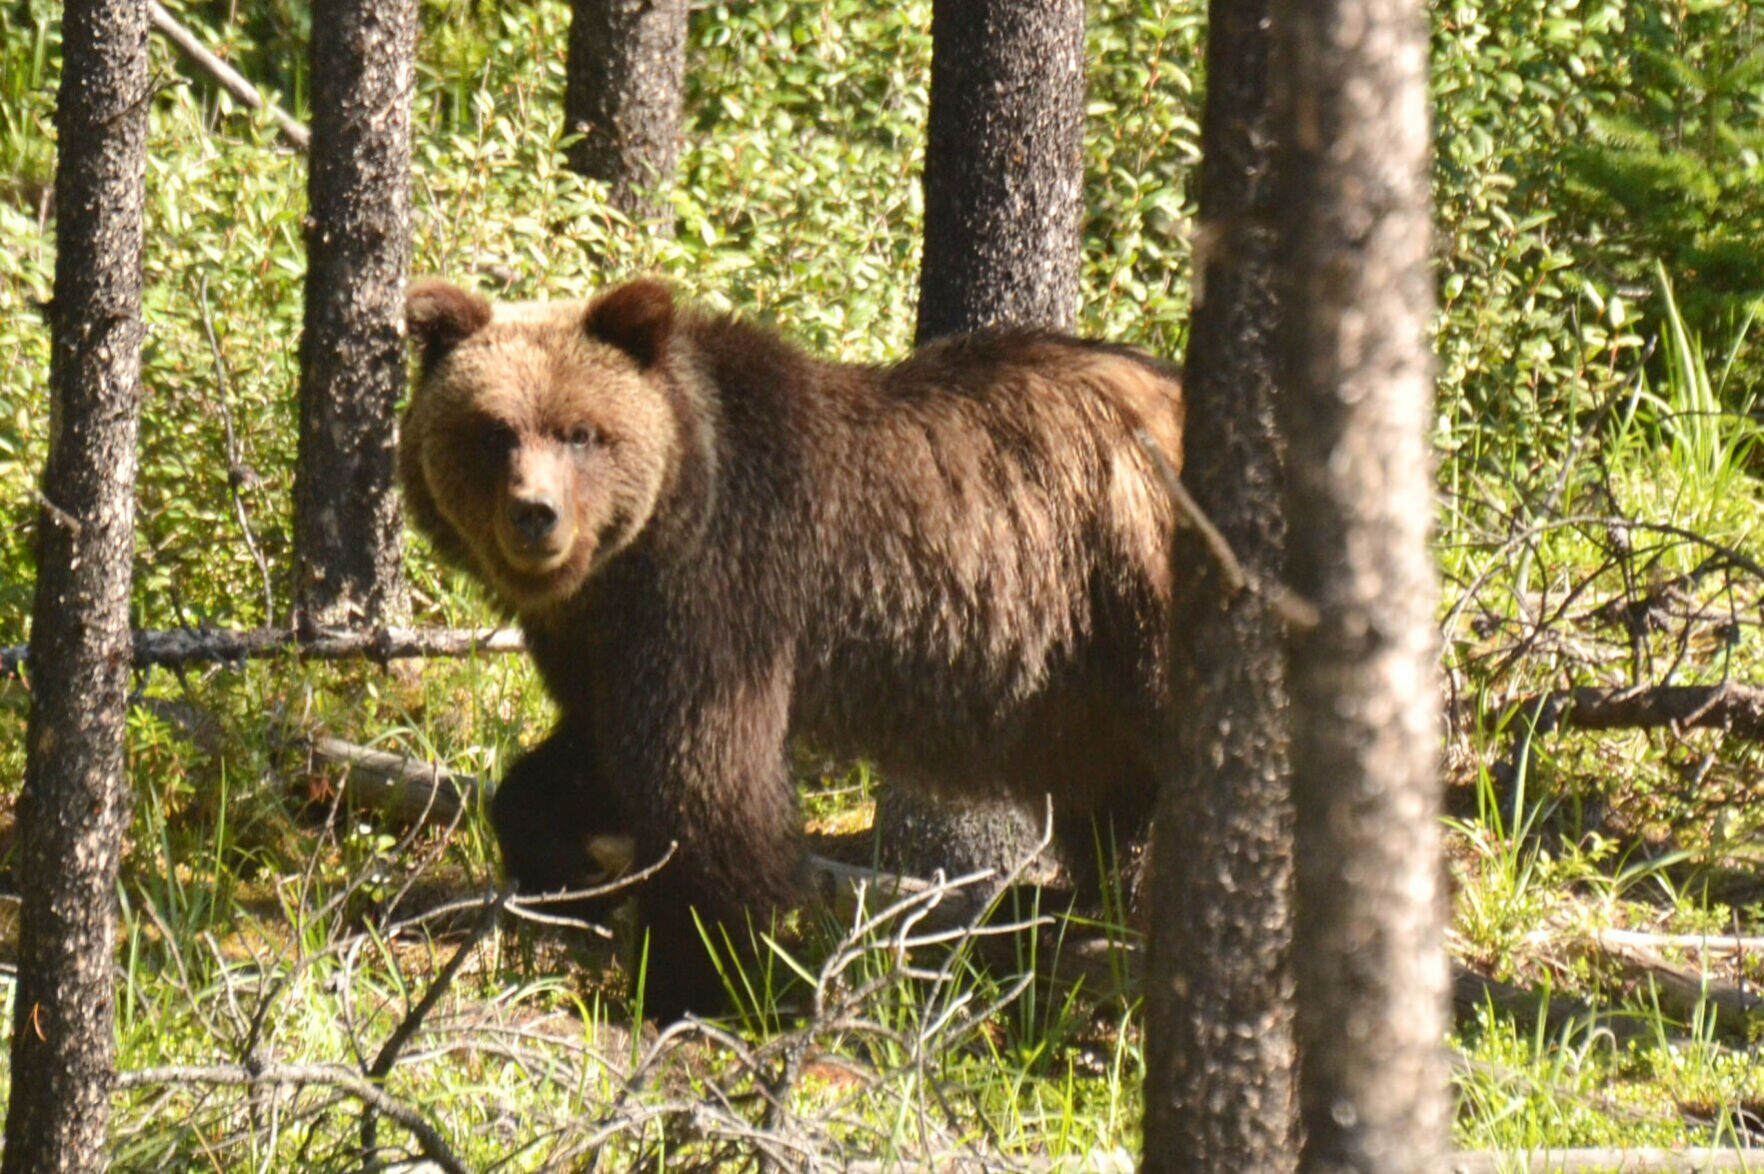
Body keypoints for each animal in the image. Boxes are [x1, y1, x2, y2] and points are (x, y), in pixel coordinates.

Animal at [400, 277, 1183, 1017]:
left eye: (581, 432)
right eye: (493, 431)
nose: (536, 514)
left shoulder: (721, 589)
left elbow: (708, 786)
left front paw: (696, 982)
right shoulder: (604, 642)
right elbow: (587, 755)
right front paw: (573, 870)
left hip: (1132, 598)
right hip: (1084, 677)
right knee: (1104, 787)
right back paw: (1059, 903)